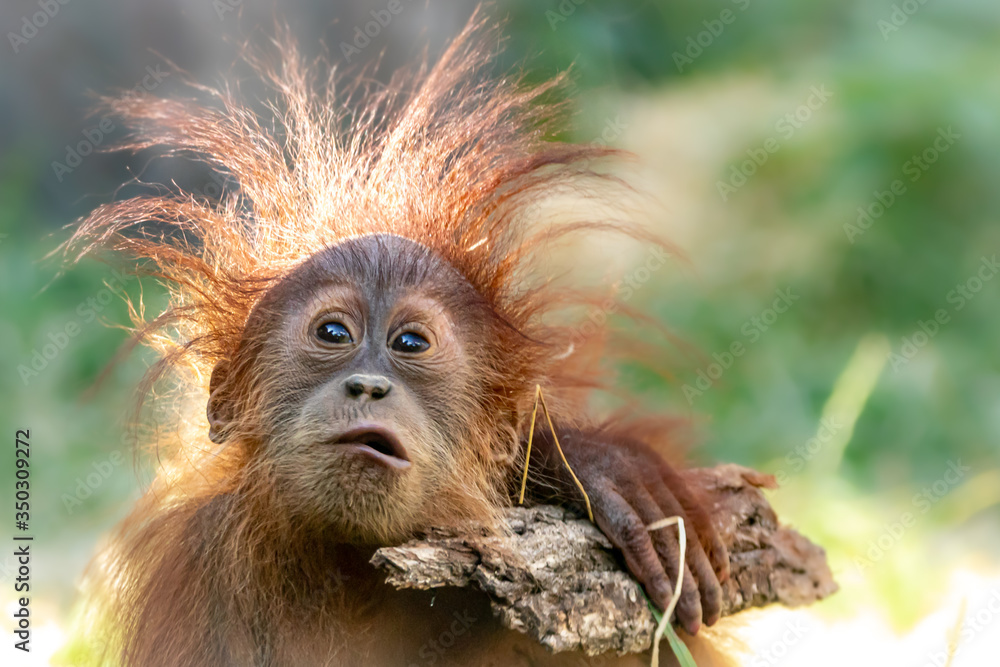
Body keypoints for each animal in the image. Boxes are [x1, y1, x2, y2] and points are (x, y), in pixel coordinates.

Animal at [63, 14, 738, 667]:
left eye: (411, 343)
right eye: (333, 333)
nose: (368, 385)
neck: (354, 574)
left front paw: (597, 468)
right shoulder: (197, 562)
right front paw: (595, 467)